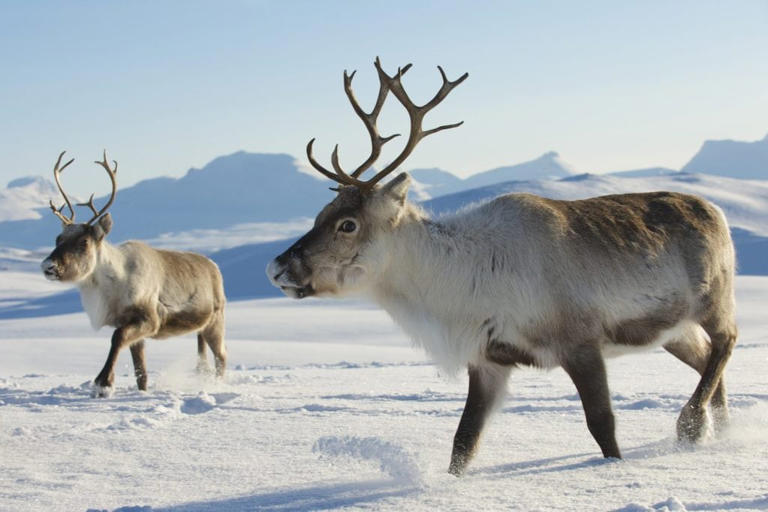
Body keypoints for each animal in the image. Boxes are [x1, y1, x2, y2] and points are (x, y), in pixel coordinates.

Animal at [41, 151, 227, 397]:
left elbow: (116, 338)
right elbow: (141, 372)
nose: (48, 266)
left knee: (222, 358)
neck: (113, 286)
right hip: (202, 327)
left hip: (216, 320)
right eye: (58, 239)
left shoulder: (149, 319)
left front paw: (103, 383)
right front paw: (139, 391)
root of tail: (214, 267)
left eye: (84, 241)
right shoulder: (131, 325)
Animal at [266, 58, 738, 475]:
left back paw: (691, 426)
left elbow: (602, 426)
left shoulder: (580, 342)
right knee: (706, 361)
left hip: (713, 299)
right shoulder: (489, 359)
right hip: (672, 330)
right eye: (320, 214)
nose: (276, 267)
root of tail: (715, 210)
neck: (458, 283)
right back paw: (721, 432)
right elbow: (463, 442)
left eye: (347, 224)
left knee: (725, 342)